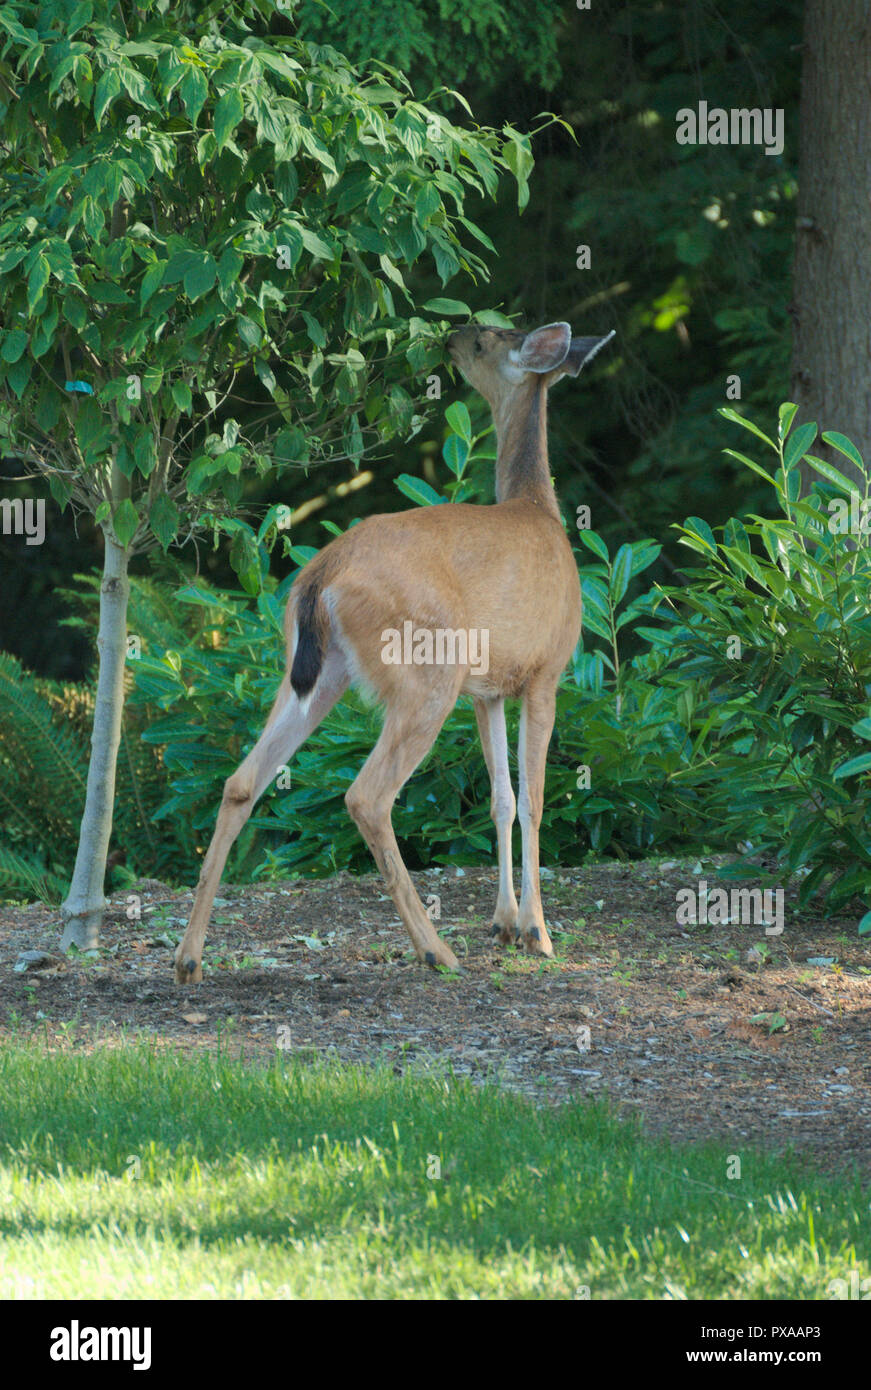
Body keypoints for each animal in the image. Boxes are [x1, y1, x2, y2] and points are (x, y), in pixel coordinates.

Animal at [174, 321, 615, 984]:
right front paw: (537, 932)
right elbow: (535, 801)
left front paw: (504, 924)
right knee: (367, 795)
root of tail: (322, 573)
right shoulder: (546, 671)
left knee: (241, 781)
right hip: (425, 671)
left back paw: (189, 959)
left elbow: (503, 800)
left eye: (483, 339)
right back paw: (436, 951)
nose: (451, 335)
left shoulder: (488, 691)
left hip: (315, 673)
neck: (540, 507)